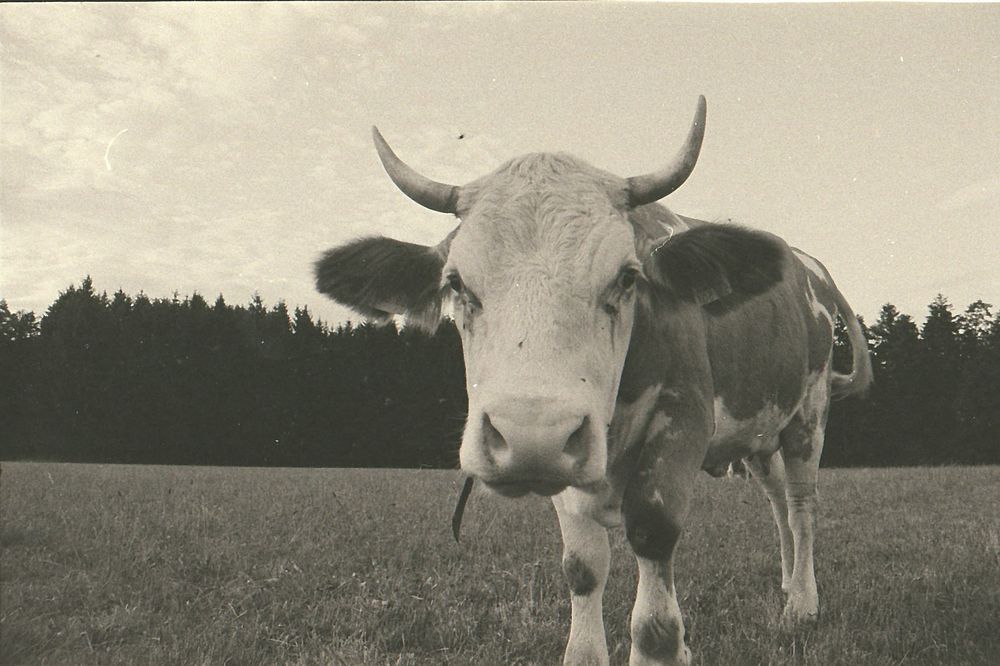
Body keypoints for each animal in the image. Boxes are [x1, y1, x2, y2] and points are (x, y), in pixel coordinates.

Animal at [314, 96, 873, 665]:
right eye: (456, 284)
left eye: (627, 278)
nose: (530, 435)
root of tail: (808, 269)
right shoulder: (570, 456)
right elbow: (582, 565)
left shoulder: (683, 417)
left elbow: (653, 555)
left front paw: (667, 645)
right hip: (758, 433)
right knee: (777, 501)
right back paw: (787, 581)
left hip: (808, 417)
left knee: (801, 505)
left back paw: (802, 604)